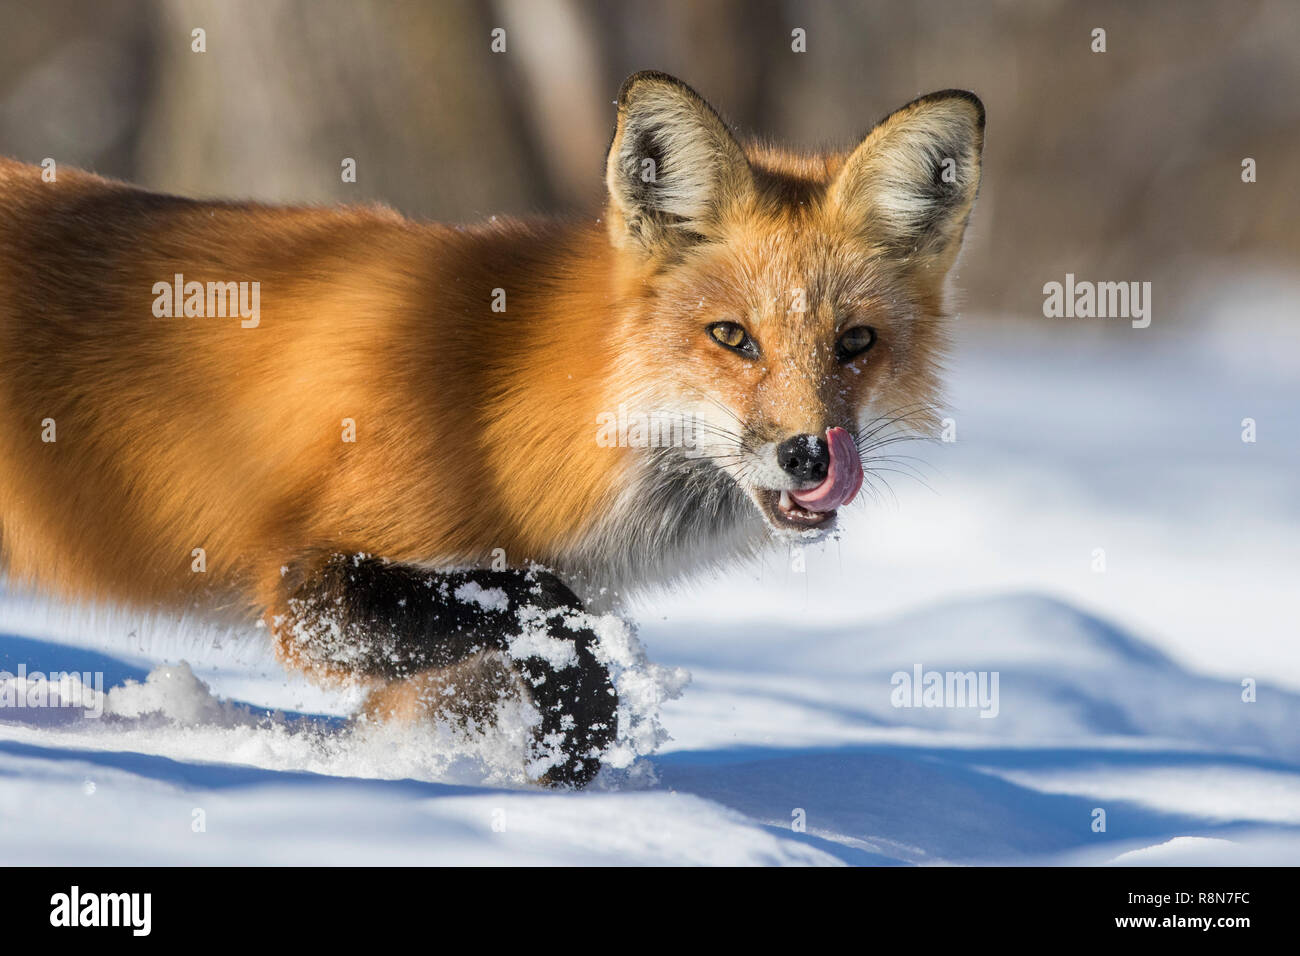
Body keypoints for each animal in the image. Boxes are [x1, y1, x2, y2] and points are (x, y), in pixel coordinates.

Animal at [0, 71, 983, 786]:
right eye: (732, 337)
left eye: (855, 344)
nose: (810, 456)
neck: (499, 401)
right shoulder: (303, 586)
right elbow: (551, 611)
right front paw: (571, 747)